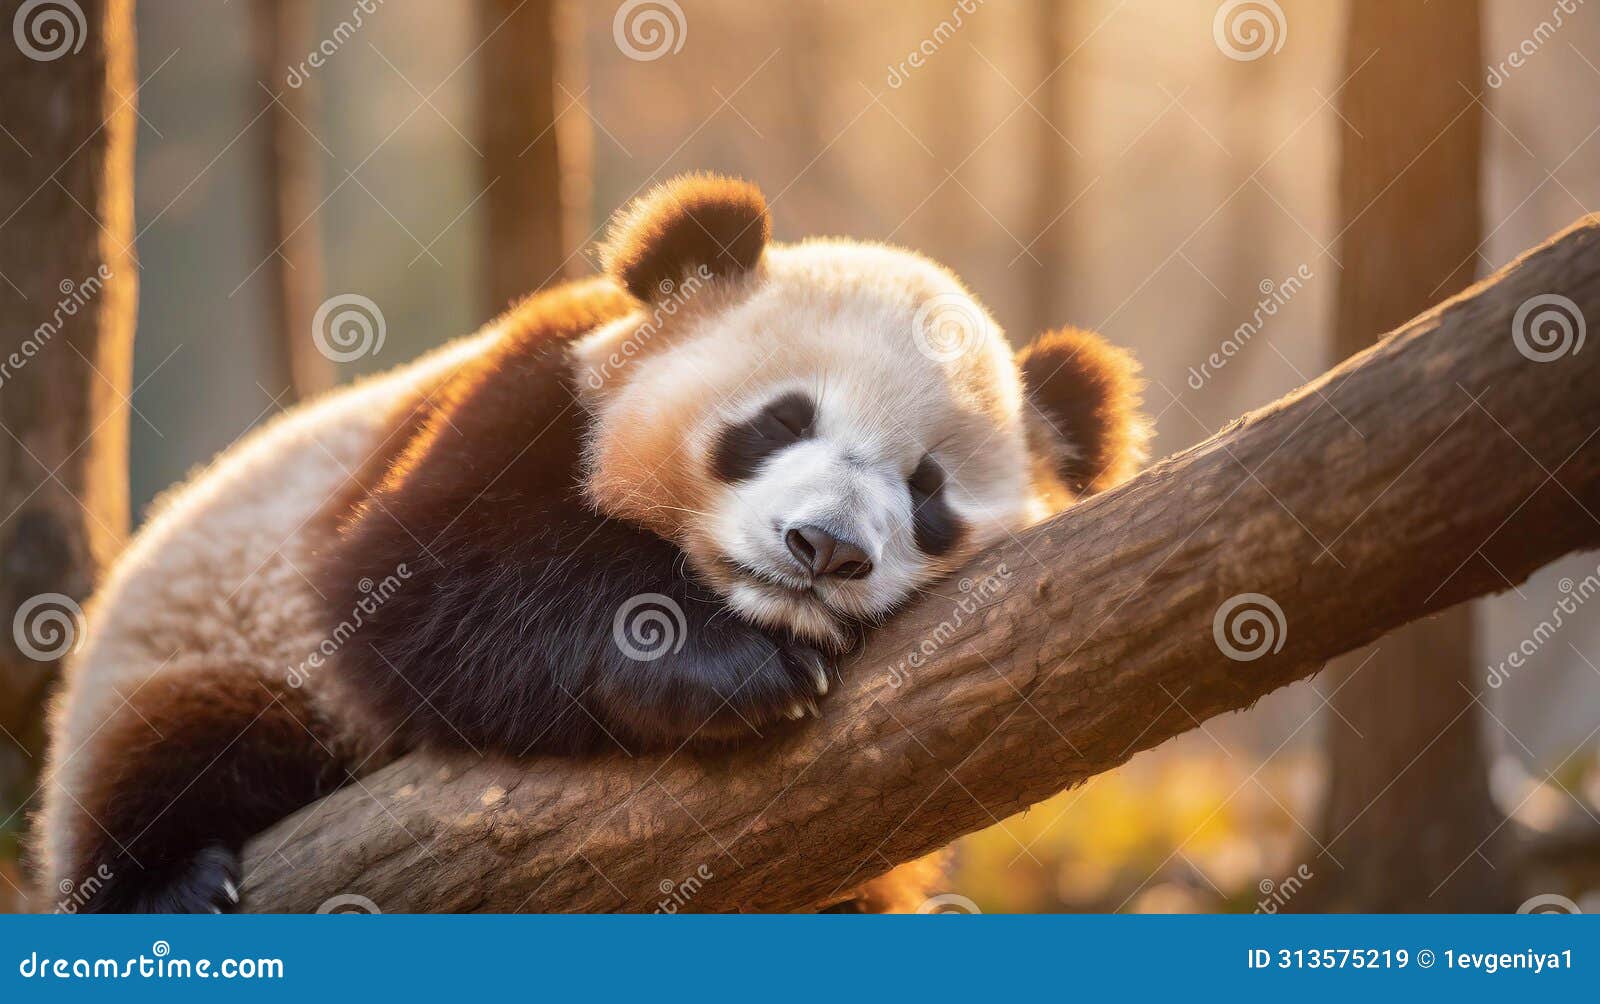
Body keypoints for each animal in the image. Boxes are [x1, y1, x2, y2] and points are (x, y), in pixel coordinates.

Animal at [37, 173, 1148, 913]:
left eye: (927, 492)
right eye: (780, 421)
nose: (823, 547)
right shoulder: (524, 397)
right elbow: (423, 587)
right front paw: (730, 667)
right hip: (196, 632)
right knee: (174, 739)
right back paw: (169, 882)